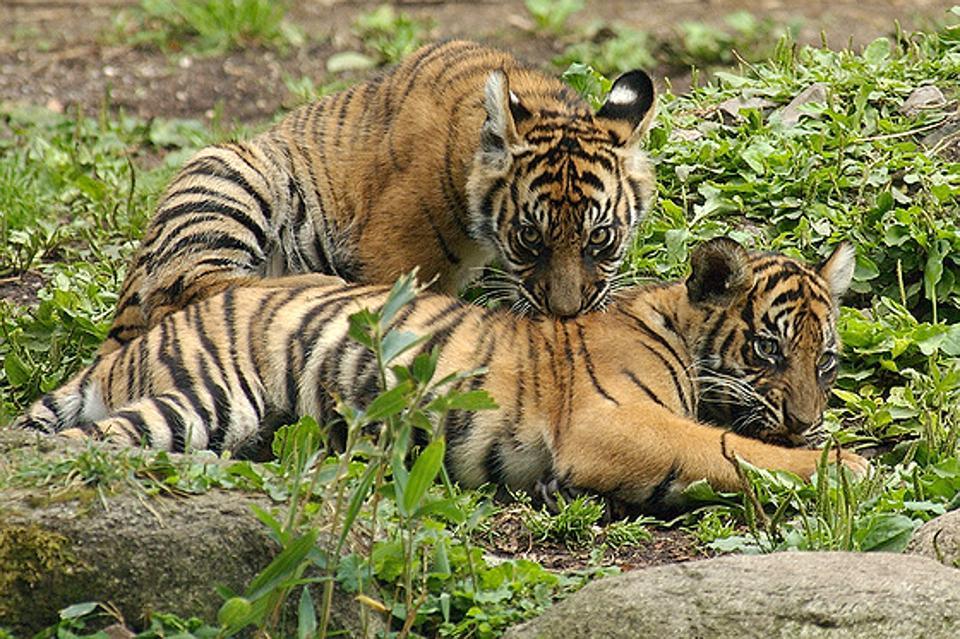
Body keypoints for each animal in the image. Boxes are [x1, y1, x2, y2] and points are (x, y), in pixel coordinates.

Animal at [14, 238, 868, 512]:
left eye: (824, 361)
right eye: (768, 351)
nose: (807, 419)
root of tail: (135, 340)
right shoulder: (612, 419)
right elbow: (727, 449)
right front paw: (848, 467)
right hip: (211, 394)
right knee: (77, 444)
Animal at [100, 39, 657, 356]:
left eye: (600, 239)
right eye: (529, 237)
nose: (566, 314)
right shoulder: (396, 253)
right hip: (234, 172)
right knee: (183, 288)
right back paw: (319, 285)